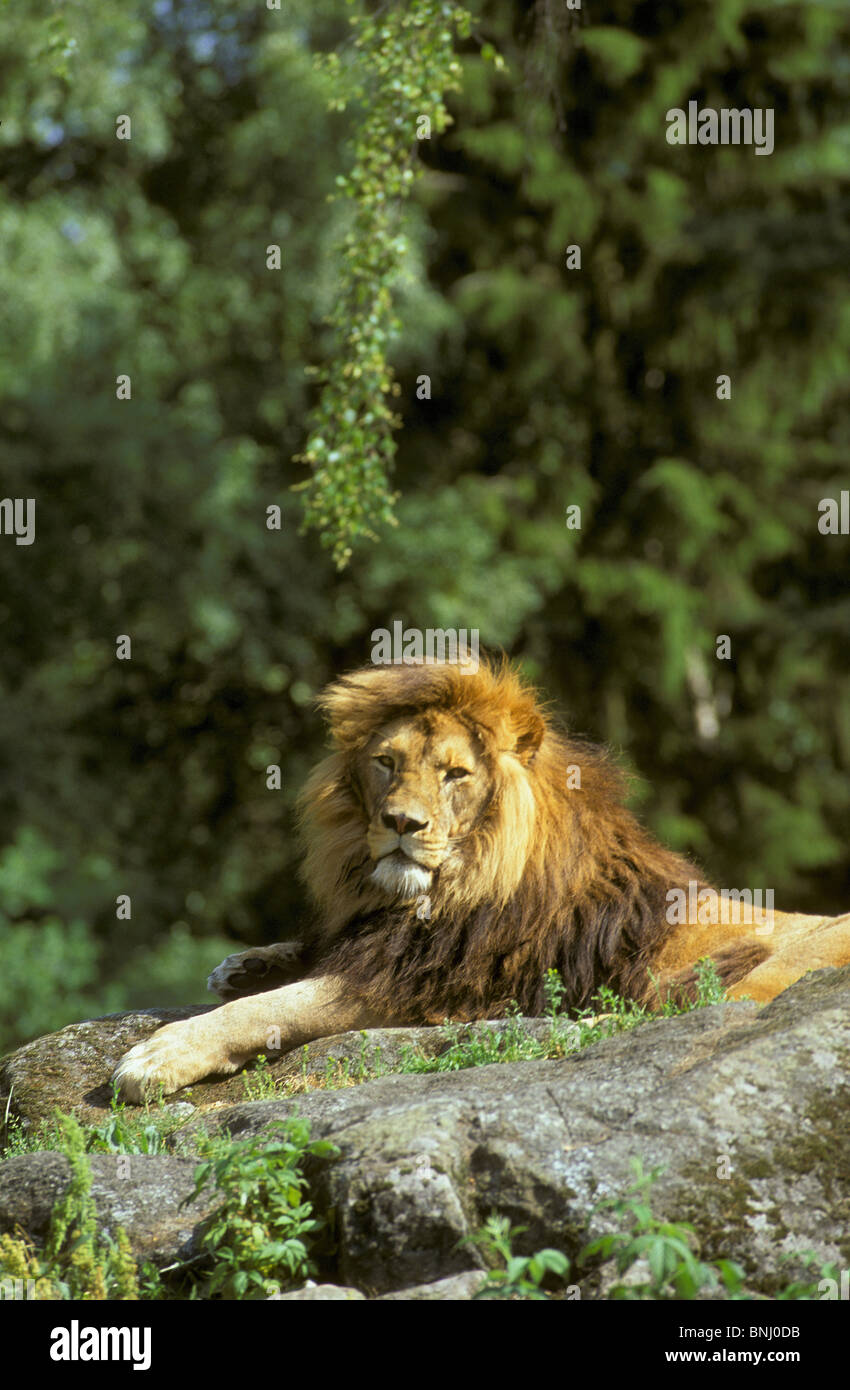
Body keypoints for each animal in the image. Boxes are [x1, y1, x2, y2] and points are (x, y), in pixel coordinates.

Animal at [114, 657, 850, 1101]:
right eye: (386, 762)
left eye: (455, 774)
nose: (400, 822)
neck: (447, 886)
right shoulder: (379, 944)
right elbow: (297, 961)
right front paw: (243, 964)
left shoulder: (418, 982)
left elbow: (275, 1008)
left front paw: (160, 1054)